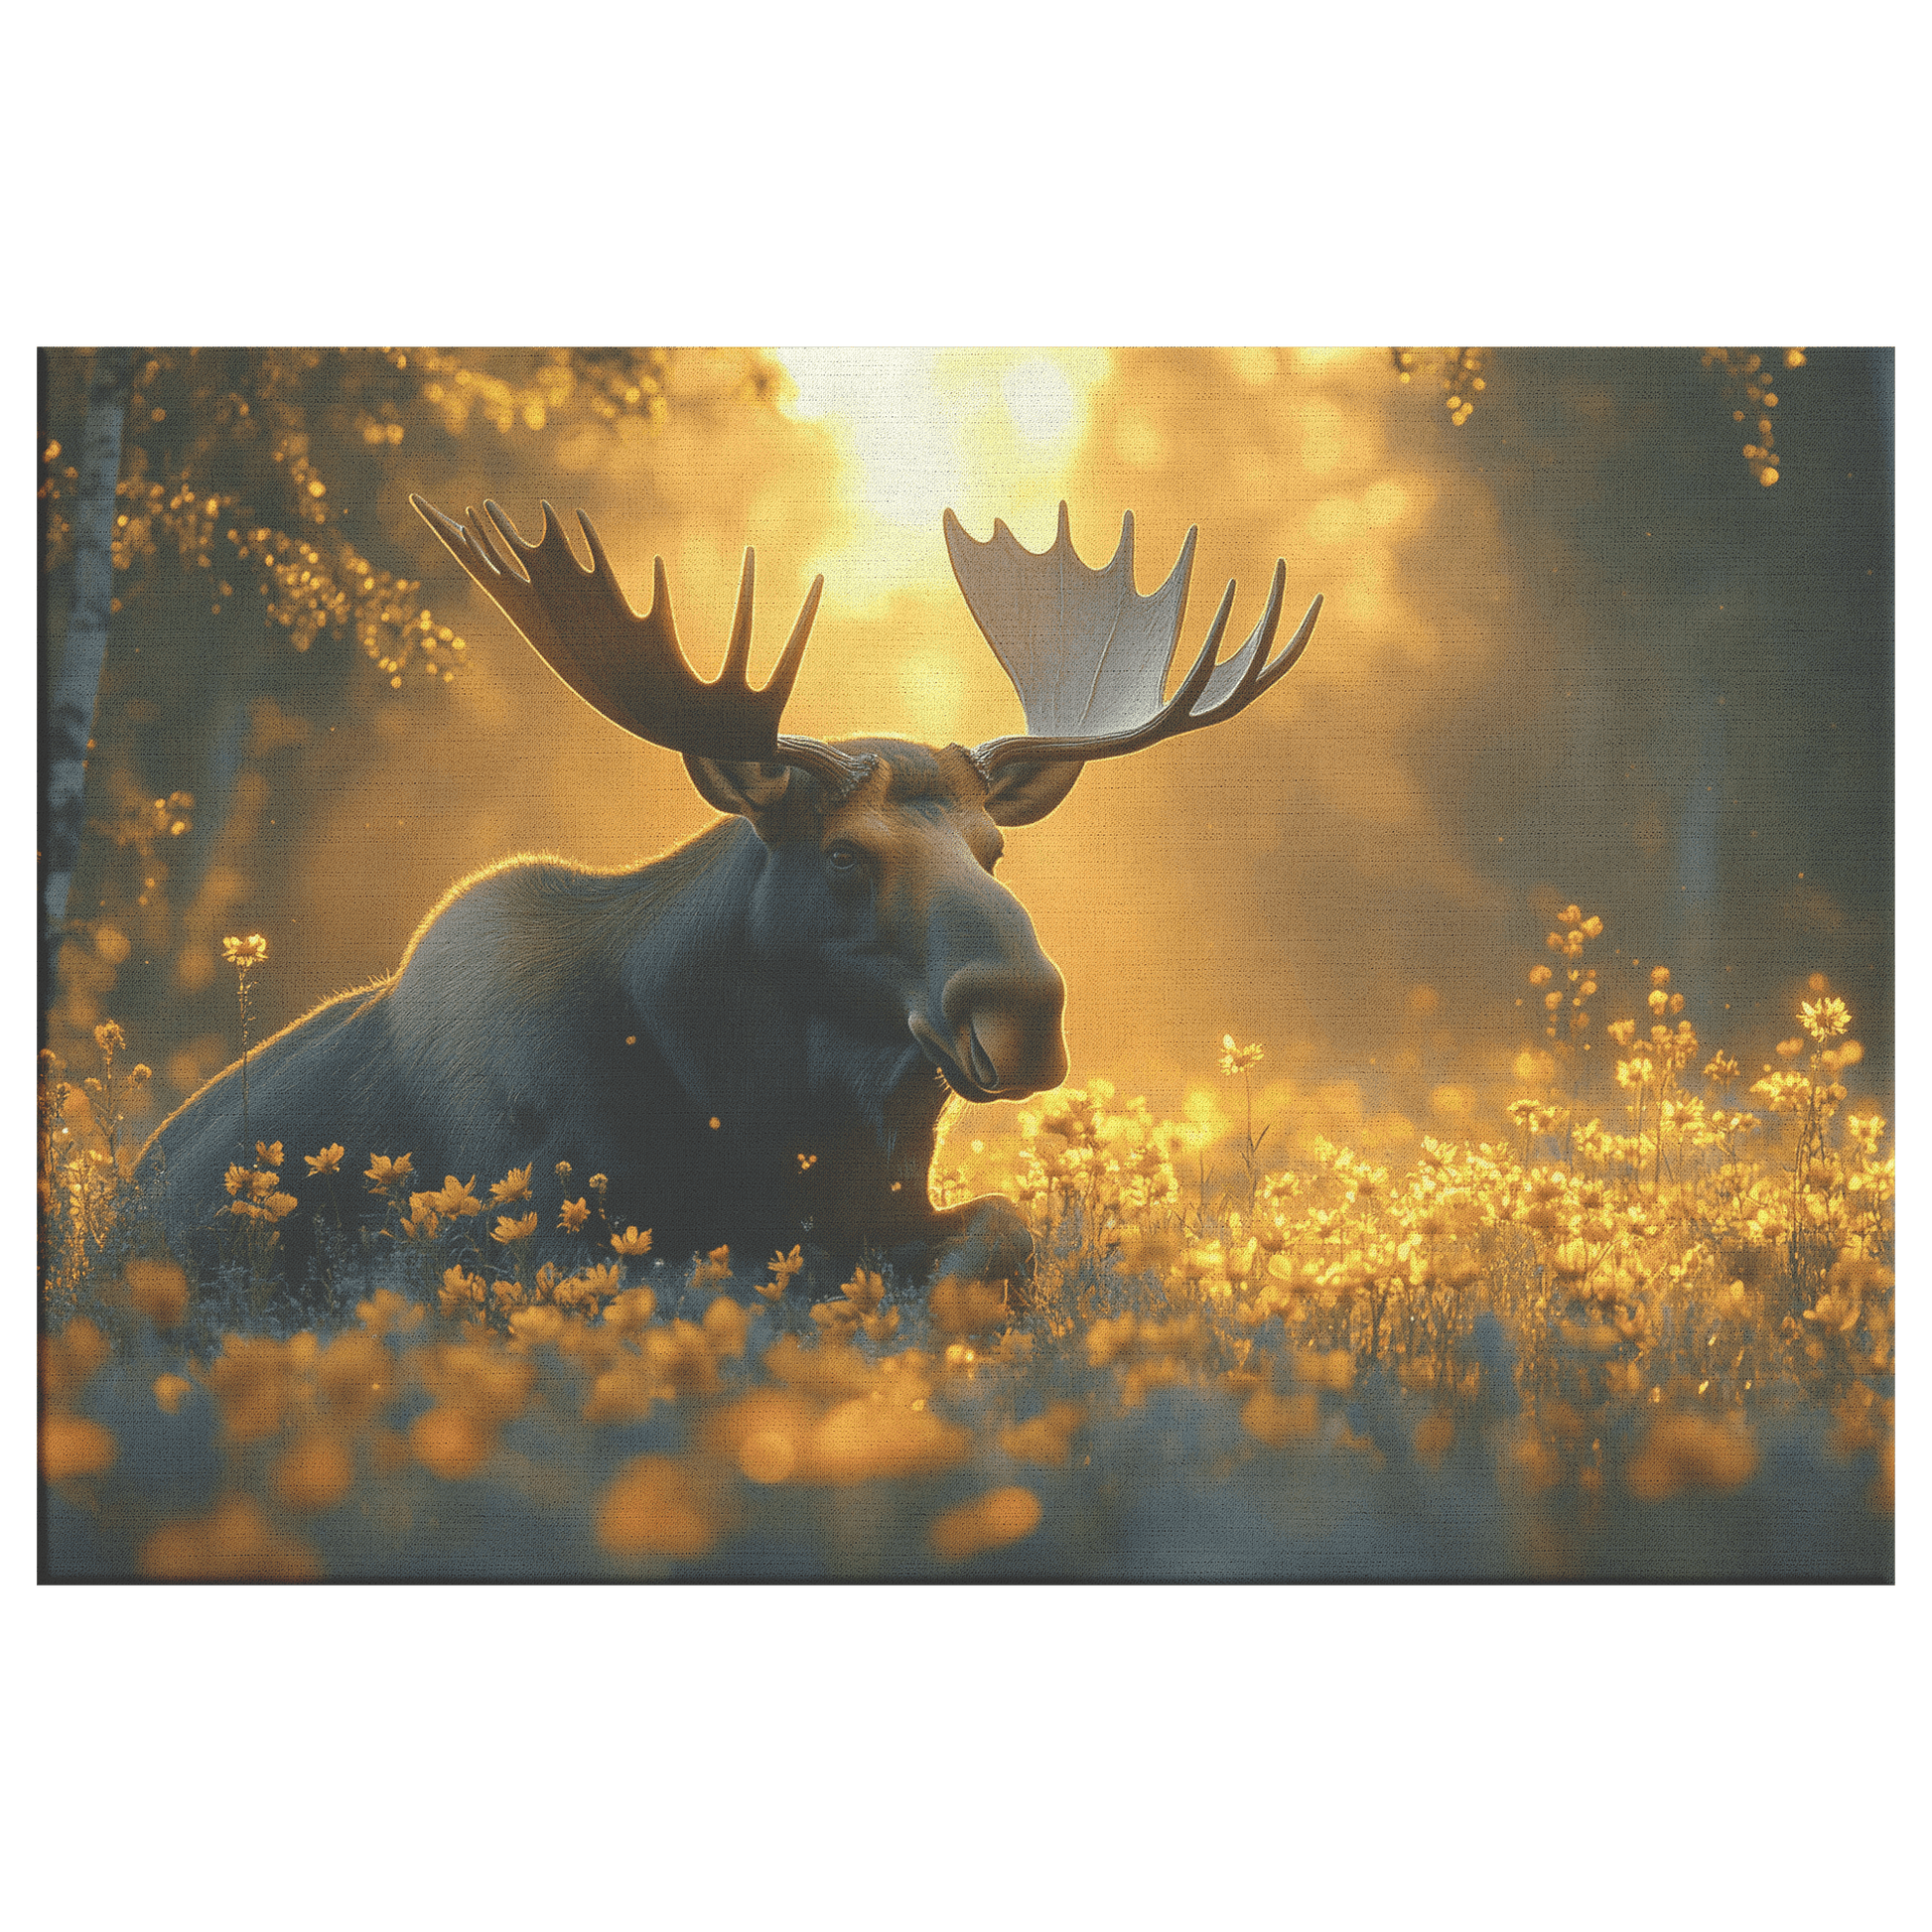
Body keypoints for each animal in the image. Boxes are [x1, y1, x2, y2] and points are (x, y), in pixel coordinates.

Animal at [137, 495, 1320, 1306]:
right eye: (842, 854)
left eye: (994, 850)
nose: (1022, 1009)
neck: (771, 1114)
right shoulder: (522, 1221)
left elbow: (1005, 1228)